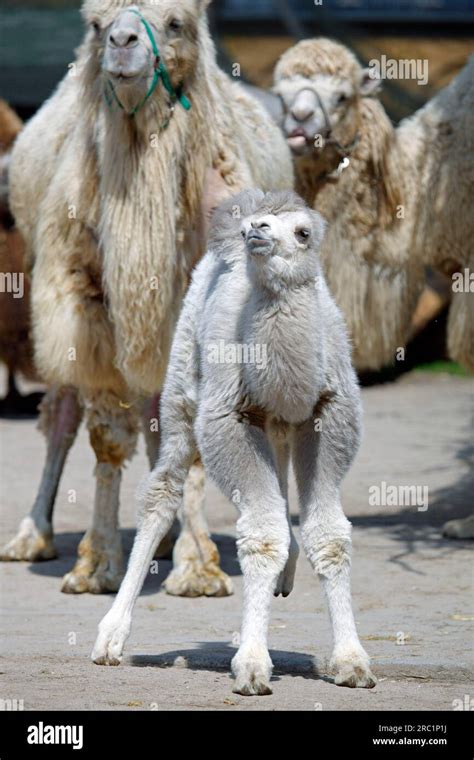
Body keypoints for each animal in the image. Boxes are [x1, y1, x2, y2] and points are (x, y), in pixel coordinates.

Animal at [2, 0, 293, 593]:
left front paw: (197, 565)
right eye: (96, 24)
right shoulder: (85, 306)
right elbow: (106, 436)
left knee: (159, 414)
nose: (122, 42)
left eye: (176, 22)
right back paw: (32, 535)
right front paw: (97, 565)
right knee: (62, 415)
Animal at [92, 189, 376, 695]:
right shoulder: (230, 417)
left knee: (280, 490)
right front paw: (252, 665)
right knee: (162, 491)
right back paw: (110, 638)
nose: (256, 231)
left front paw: (352, 662)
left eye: (303, 232)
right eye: (254, 228)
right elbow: (261, 535)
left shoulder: (329, 415)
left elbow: (329, 535)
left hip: (278, 426)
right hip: (182, 387)